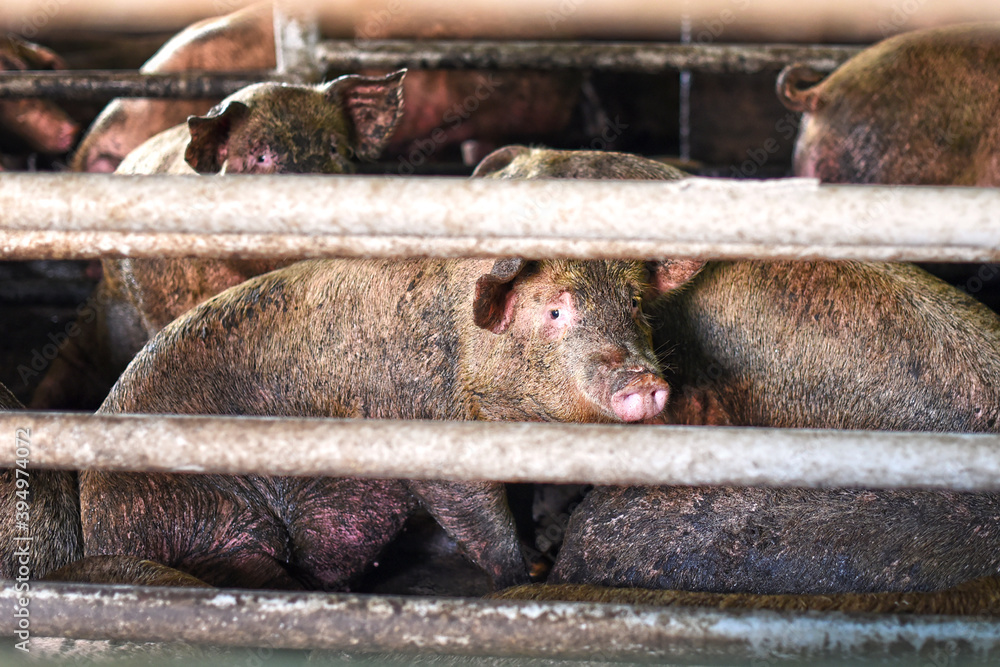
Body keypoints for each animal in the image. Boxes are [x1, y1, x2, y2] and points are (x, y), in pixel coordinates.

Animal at [81, 254, 678, 590]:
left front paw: (538, 559)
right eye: (554, 311)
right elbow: (476, 517)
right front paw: (525, 579)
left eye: (632, 303)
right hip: (202, 516)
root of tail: (95, 526)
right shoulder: (431, 431)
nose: (645, 383)